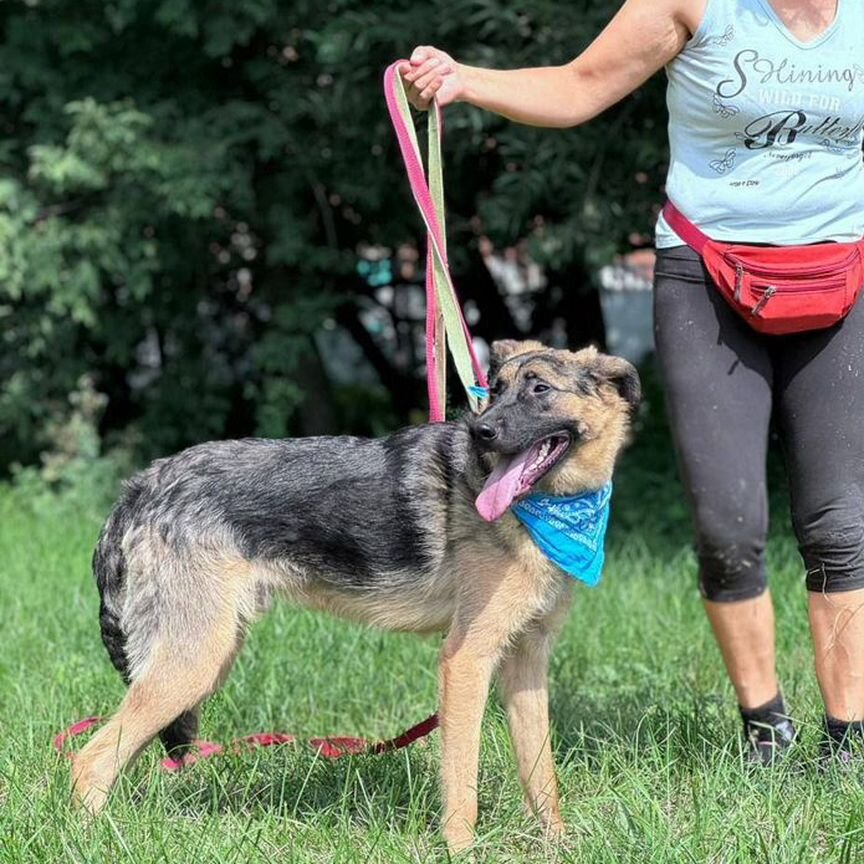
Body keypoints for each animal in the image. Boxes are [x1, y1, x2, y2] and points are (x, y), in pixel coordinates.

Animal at [72, 338, 640, 852]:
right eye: (494, 392)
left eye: (540, 389)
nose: (480, 432)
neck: (547, 511)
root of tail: (144, 483)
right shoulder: (466, 661)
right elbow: (463, 782)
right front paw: (461, 850)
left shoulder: (526, 662)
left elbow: (542, 778)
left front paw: (558, 845)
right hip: (190, 665)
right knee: (88, 761)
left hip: (198, 664)